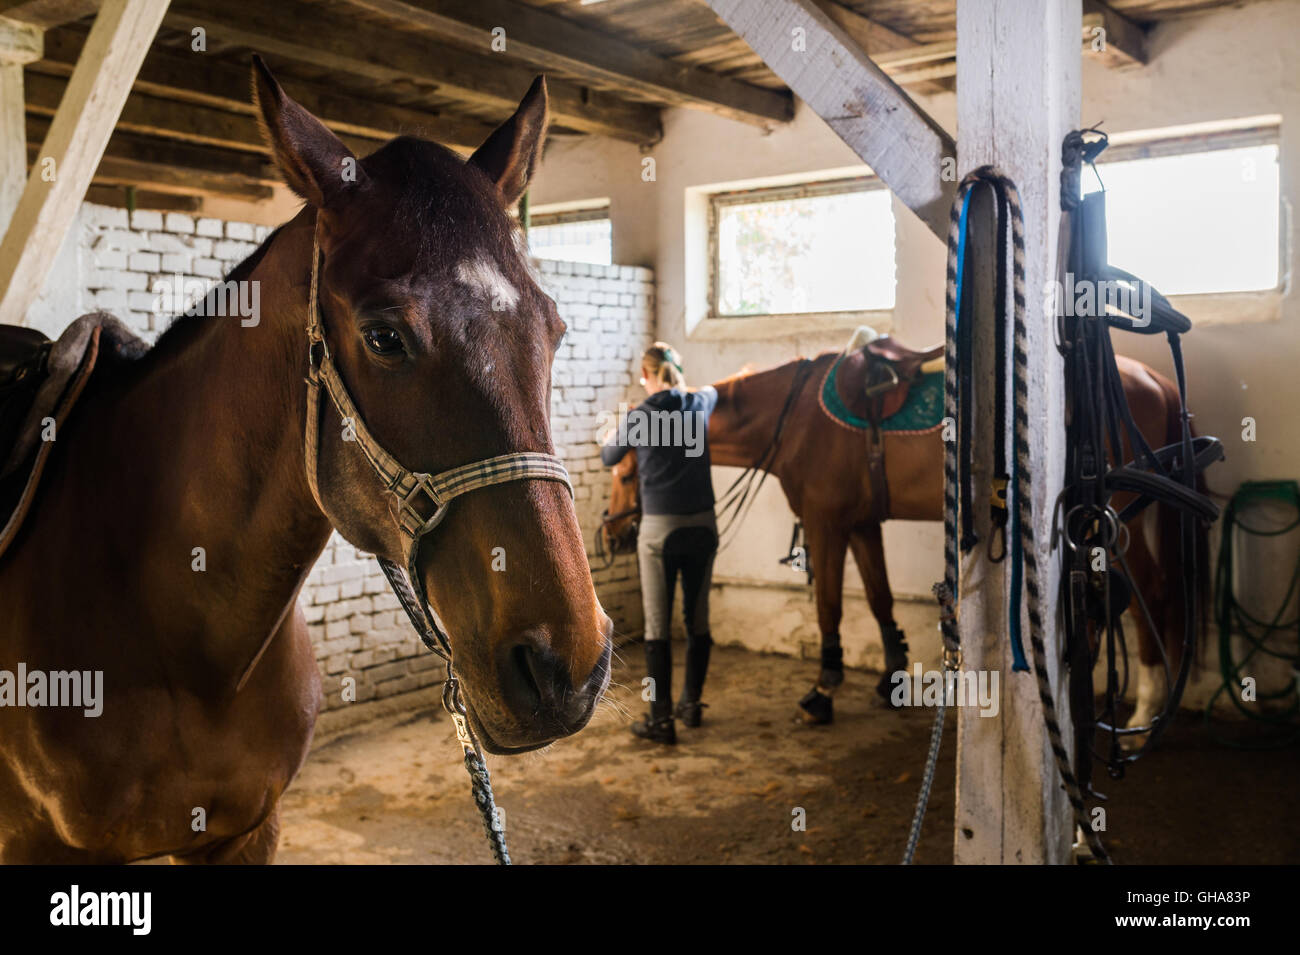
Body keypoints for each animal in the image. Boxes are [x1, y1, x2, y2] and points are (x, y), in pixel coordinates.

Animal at [684, 341, 1204, 727]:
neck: (795, 419)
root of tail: (1154, 379)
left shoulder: (825, 522)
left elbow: (829, 606)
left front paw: (822, 690)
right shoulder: (862, 524)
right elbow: (879, 599)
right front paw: (889, 675)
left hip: (1118, 518)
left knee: (1150, 594)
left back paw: (1144, 712)